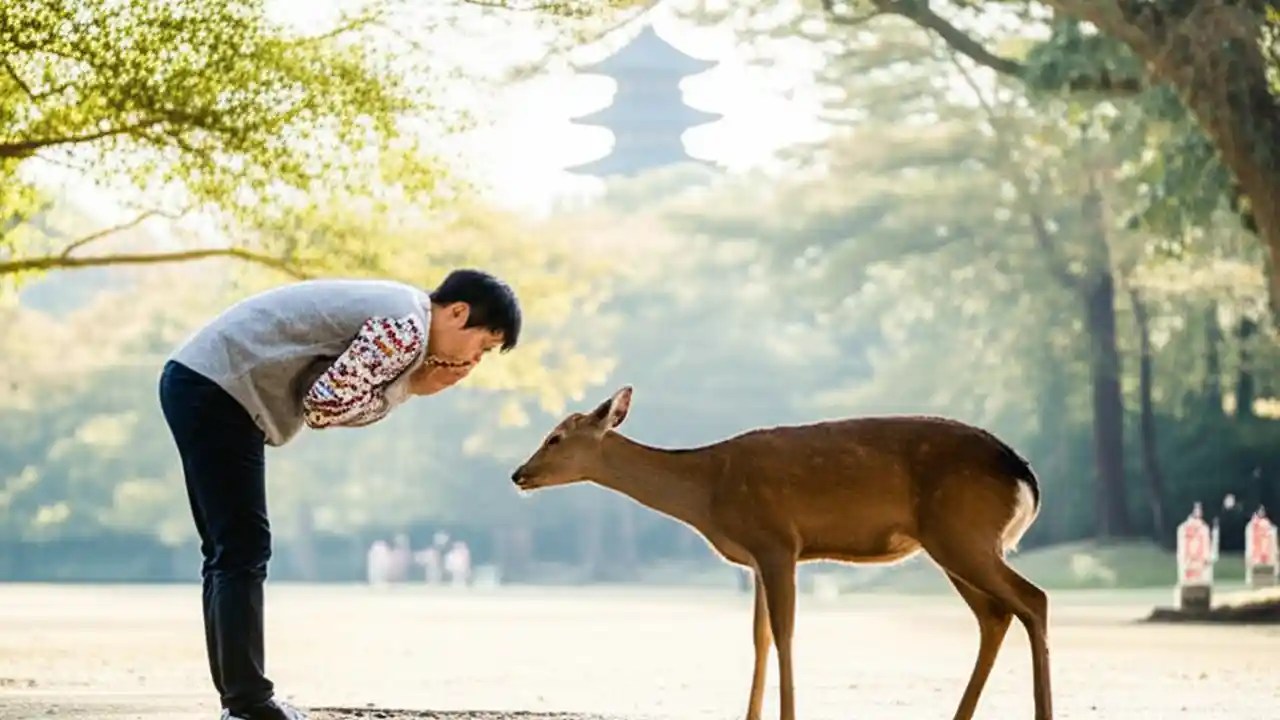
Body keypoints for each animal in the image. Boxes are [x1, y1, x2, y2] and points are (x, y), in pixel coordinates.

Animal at [510, 386, 1052, 720]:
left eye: (555, 437)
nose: (519, 474)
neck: (708, 493)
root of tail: (1025, 476)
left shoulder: (777, 542)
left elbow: (786, 634)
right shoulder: (754, 558)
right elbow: (760, 637)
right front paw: (748, 715)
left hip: (962, 532)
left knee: (1033, 599)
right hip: (953, 544)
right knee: (995, 615)